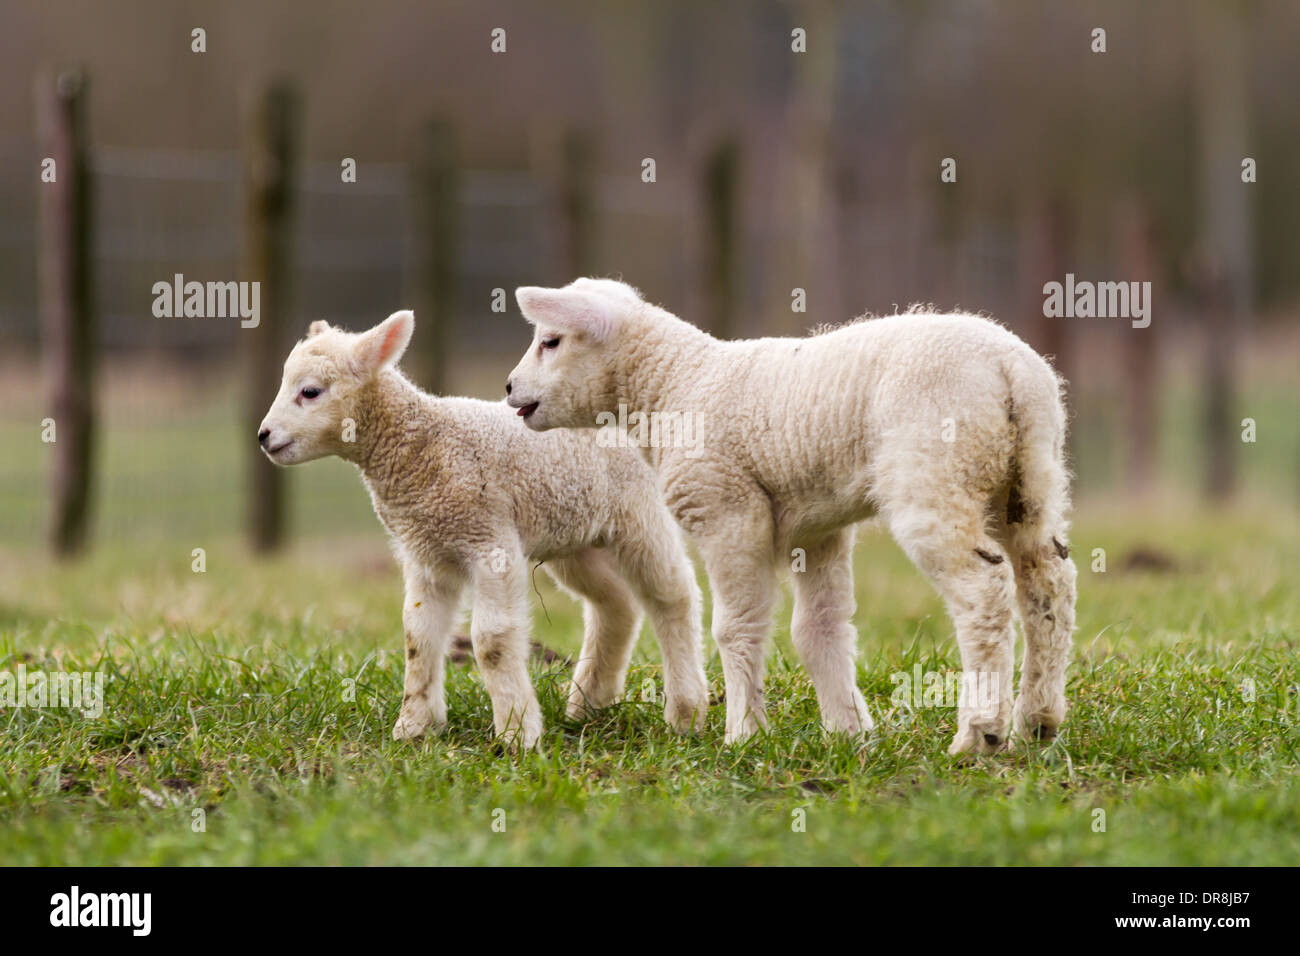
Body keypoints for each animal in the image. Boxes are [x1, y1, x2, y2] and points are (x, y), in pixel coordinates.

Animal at [257, 310, 709, 750]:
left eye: (310, 391)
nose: (263, 436)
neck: (422, 446)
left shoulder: (488, 539)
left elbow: (491, 640)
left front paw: (516, 734)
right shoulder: (427, 550)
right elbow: (417, 636)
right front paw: (414, 726)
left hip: (640, 514)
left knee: (673, 596)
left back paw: (686, 712)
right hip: (576, 536)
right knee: (616, 604)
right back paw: (587, 705)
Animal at [505, 278, 1077, 754]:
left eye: (551, 341)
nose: (510, 388)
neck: (675, 384)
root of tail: (1009, 366)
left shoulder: (727, 508)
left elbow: (736, 626)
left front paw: (743, 734)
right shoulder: (818, 527)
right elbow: (819, 628)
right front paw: (848, 731)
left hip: (936, 475)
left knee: (983, 590)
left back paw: (980, 732)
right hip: (1030, 477)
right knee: (1048, 581)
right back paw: (1038, 720)